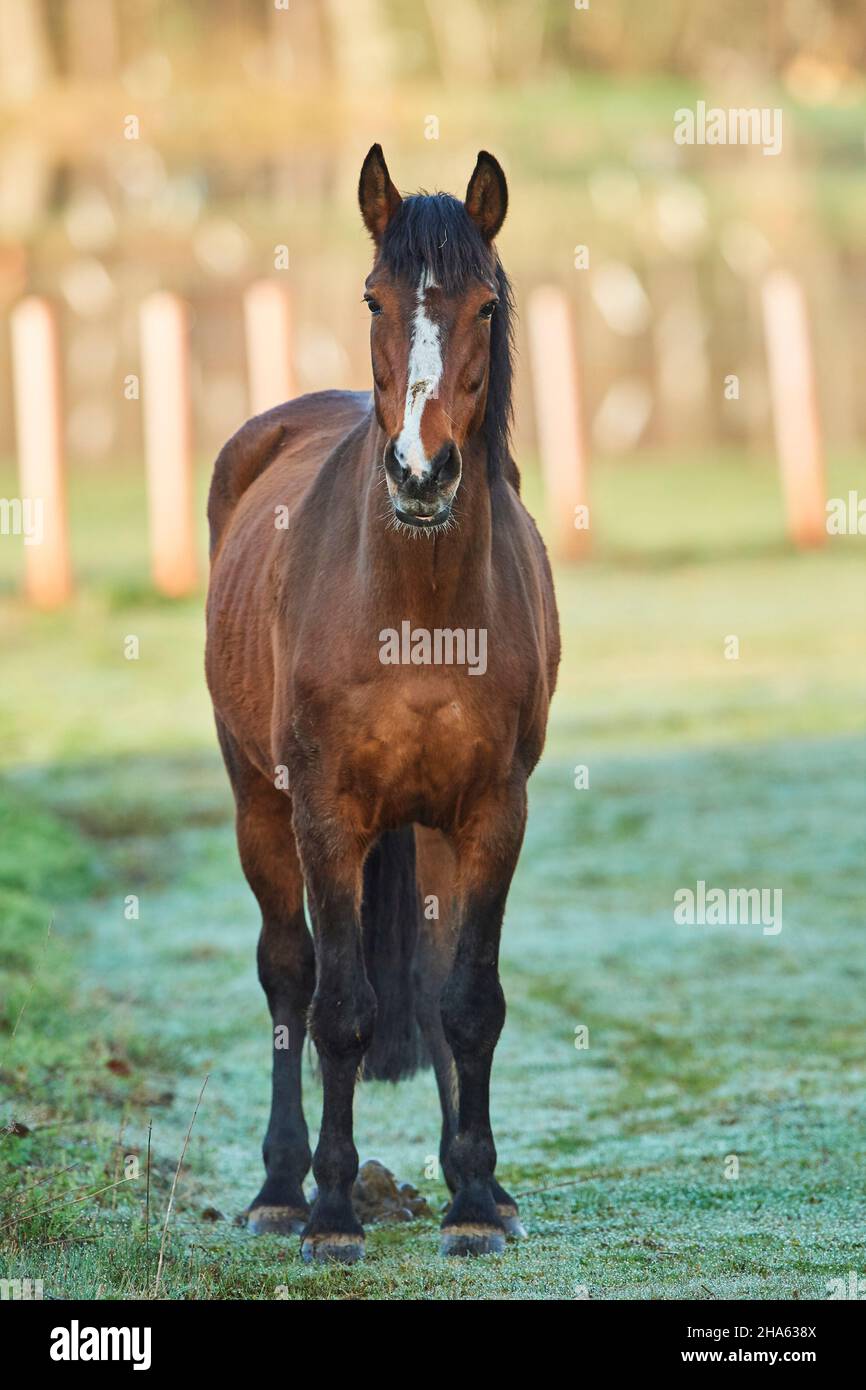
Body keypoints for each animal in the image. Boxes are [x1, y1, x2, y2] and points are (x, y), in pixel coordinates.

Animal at [205, 145, 560, 1263]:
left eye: (485, 305)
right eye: (374, 296)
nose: (419, 470)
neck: (416, 612)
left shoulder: (492, 813)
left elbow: (468, 1002)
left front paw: (476, 1201)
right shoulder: (326, 815)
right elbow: (341, 1010)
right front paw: (330, 1213)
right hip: (259, 806)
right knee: (287, 973)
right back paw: (280, 1188)